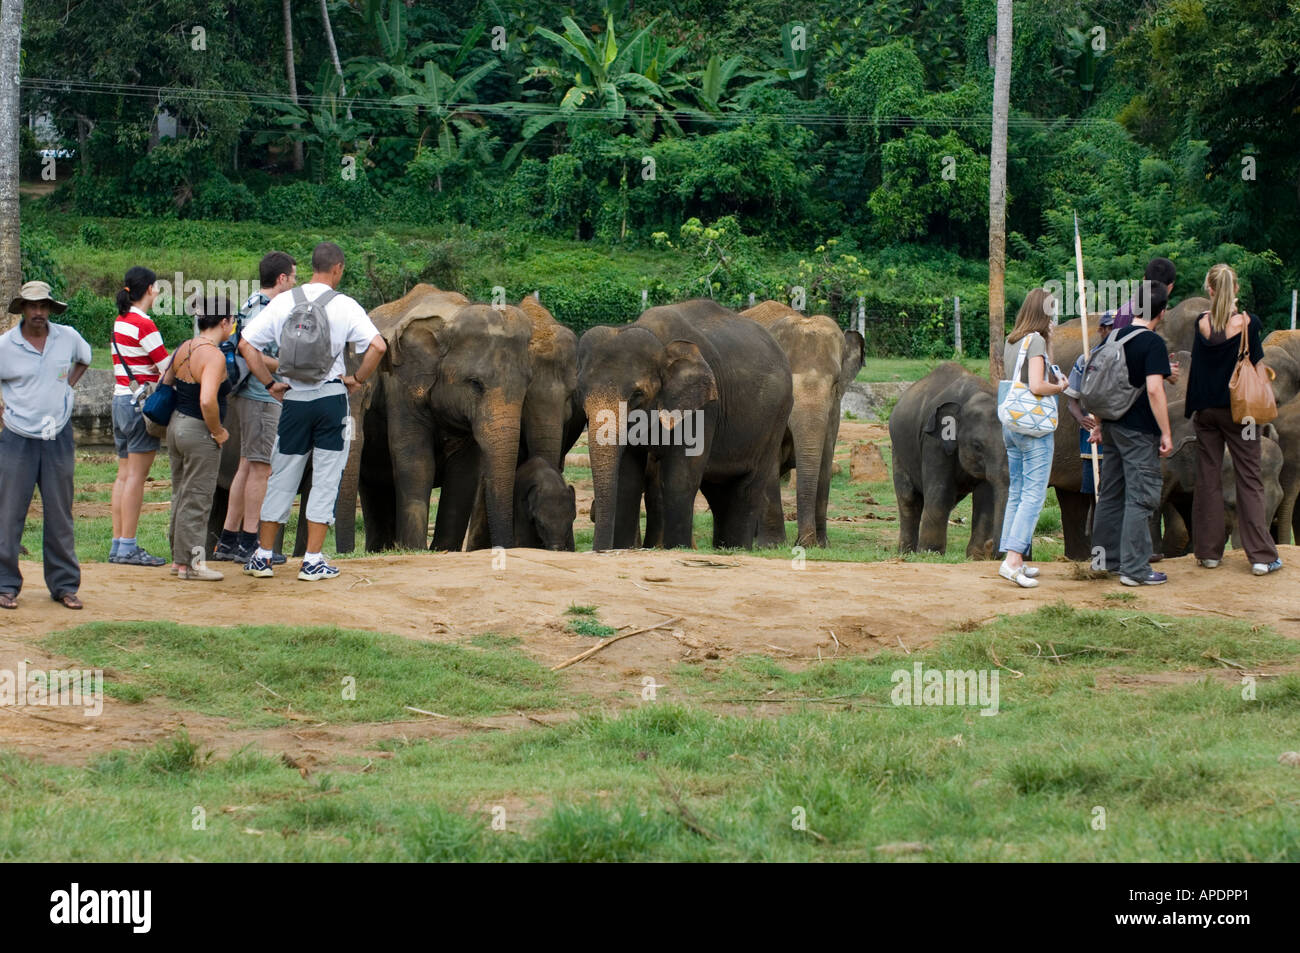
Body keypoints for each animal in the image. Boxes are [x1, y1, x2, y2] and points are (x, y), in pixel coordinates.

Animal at [336, 285, 533, 552]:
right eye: (475, 384)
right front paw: (414, 549)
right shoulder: (402, 384)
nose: (506, 548)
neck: (452, 315)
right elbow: (416, 459)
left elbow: (464, 472)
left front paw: (443, 549)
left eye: (528, 384)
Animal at [578, 298, 793, 551]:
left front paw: (676, 549)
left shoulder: (704, 407)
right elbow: (628, 482)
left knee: (749, 486)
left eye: (637, 395)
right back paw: (725, 548)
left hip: (776, 418)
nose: (599, 549)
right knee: (718, 491)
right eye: (581, 392)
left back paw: (738, 548)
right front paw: (621, 549)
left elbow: (680, 479)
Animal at [740, 299, 865, 547]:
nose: (804, 542)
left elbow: (825, 460)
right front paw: (773, 545)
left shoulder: (834, 411)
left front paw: (822, 545)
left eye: (836, 383)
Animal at [889, 362, 1009, 558]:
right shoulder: (934, 440)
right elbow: (940, 492)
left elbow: (986, 497)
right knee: (909, 497)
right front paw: (930, 553)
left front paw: (976, 557)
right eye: (977, 446)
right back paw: (906, 553)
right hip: (898, 450)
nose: (990, 547)